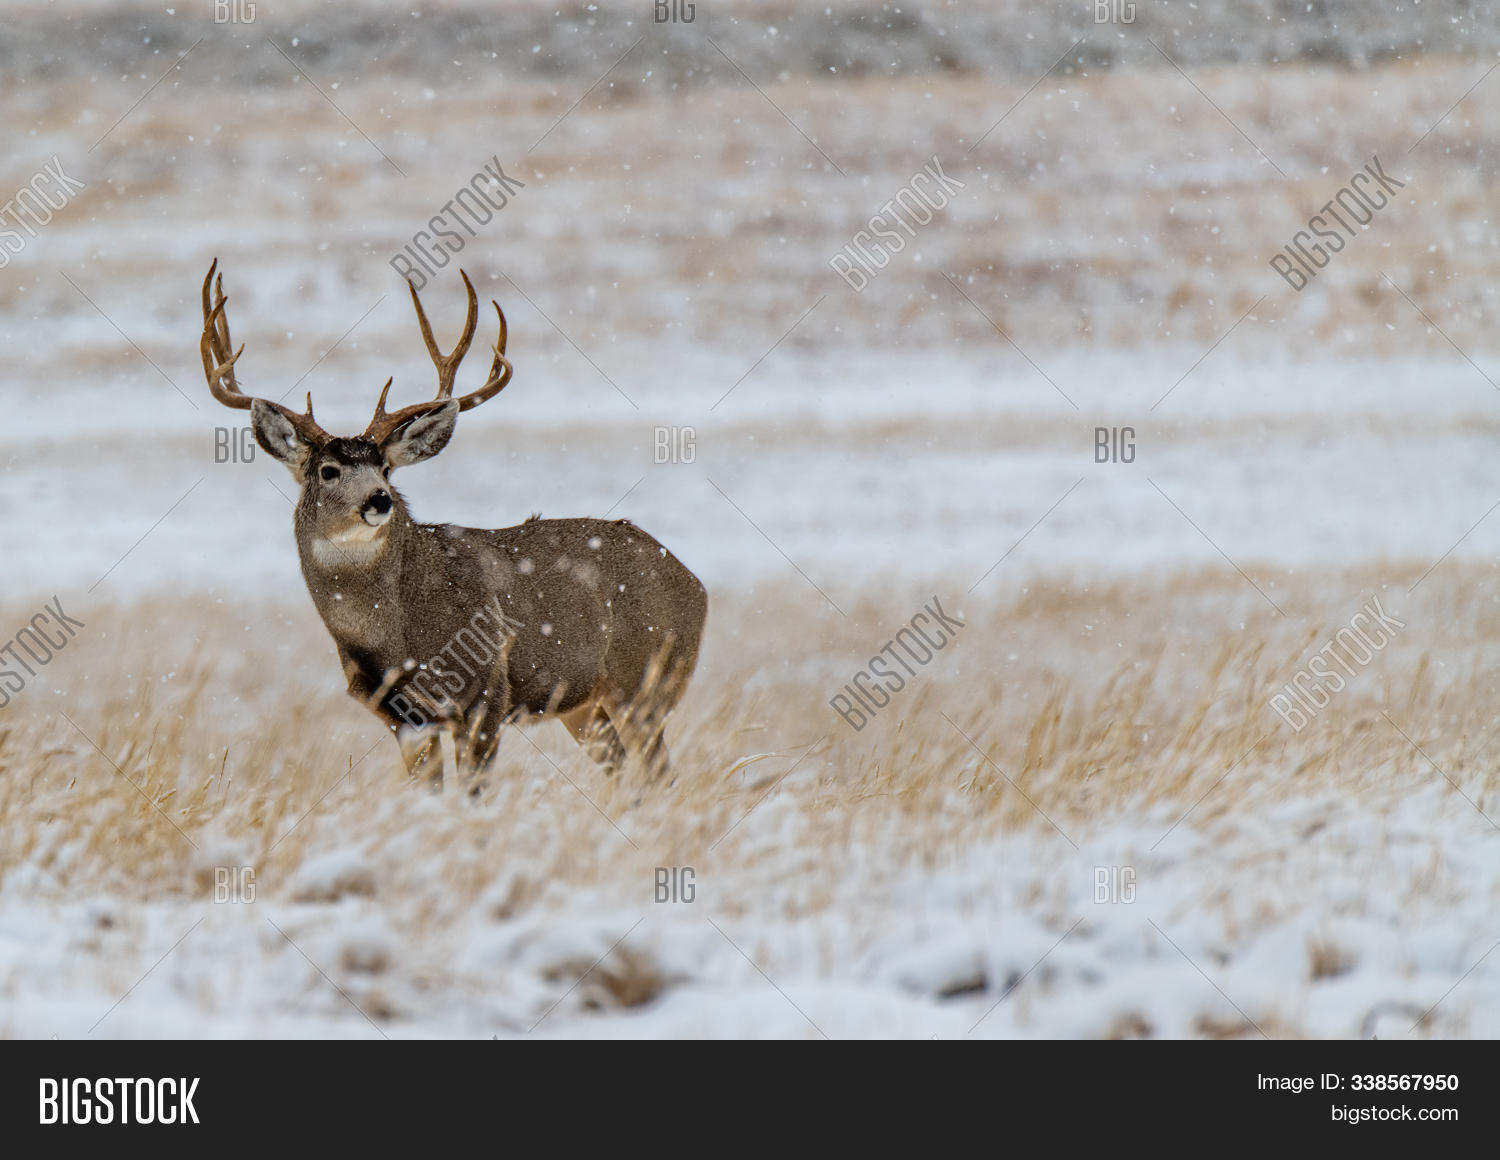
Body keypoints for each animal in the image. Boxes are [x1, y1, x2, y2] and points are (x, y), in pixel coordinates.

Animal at [198, 259, 707, 792]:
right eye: (328, 470)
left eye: (385, 468)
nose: (379, 500)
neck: (395, 636)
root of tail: (696, 583)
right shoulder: (403, 718)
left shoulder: (486, 696)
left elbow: (471, 796)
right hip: (584, 706)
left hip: (645, 682)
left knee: (659, 775)